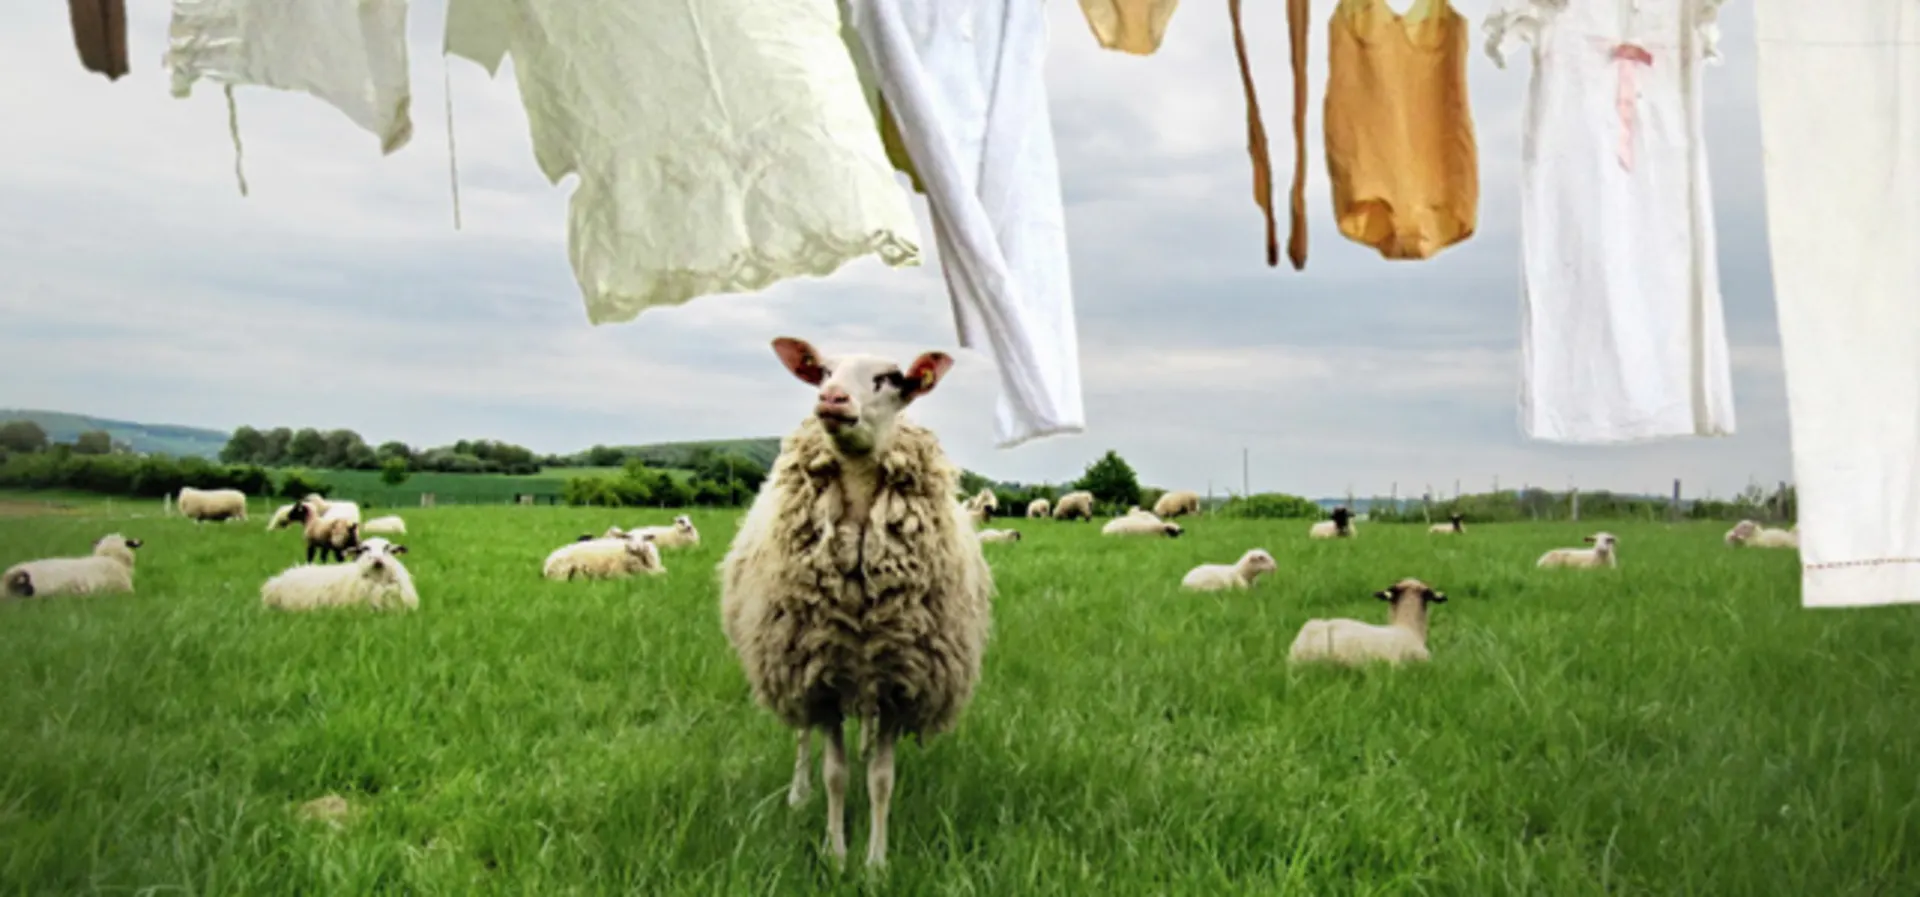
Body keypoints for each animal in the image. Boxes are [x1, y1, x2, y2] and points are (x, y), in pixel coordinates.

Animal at [719, 336, 992, 870]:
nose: (831, 399)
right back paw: (798, 794)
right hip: (792, 662)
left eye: (890, 379)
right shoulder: (820, 681)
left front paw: (876, 864)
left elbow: (881, 779)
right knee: (802, 739)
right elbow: (835, 774)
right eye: (824, 371)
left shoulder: (899, 684)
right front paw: (836, 854)